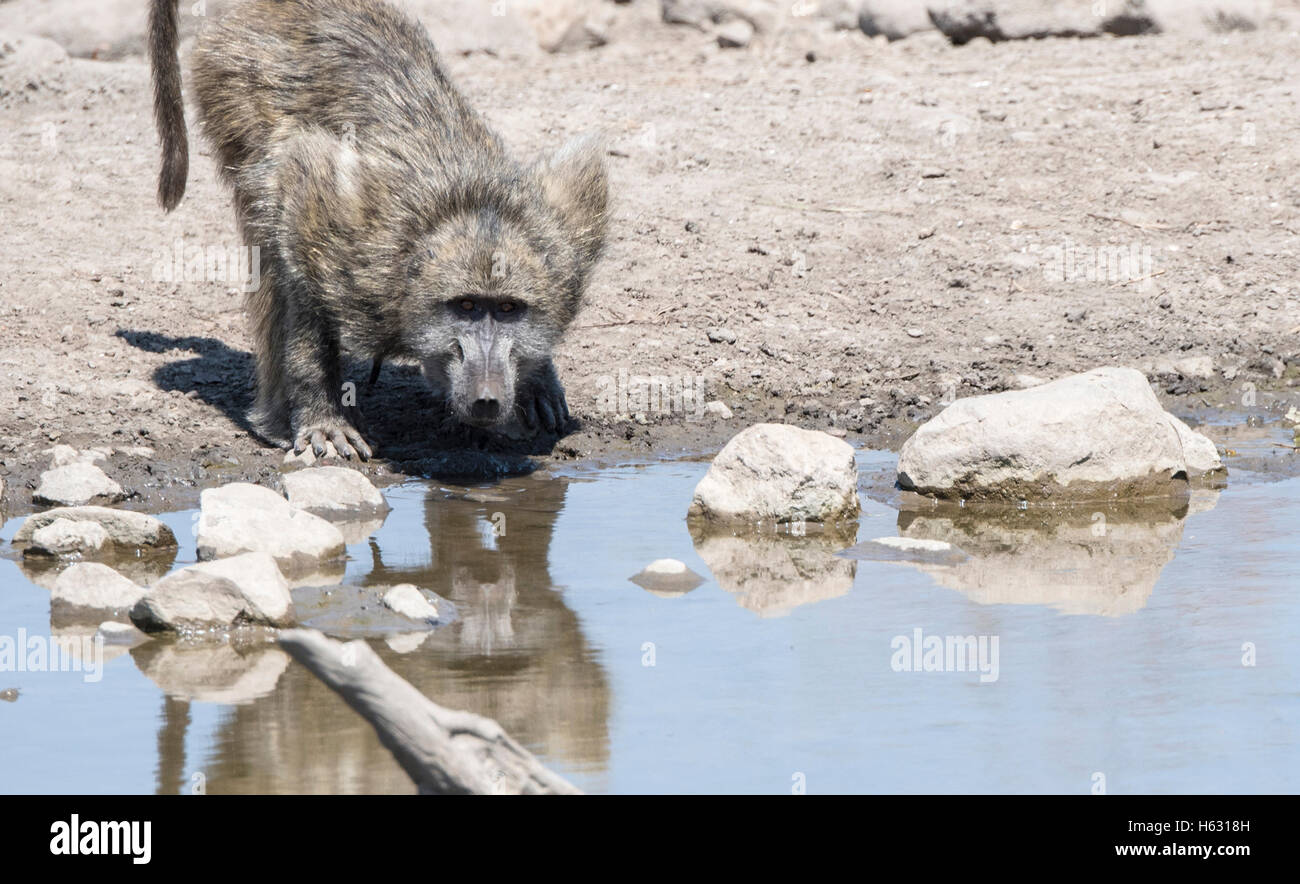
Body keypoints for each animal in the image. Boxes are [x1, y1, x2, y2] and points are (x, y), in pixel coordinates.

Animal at [148, 0, 608, 460]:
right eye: (466, 306)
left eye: (509, 309)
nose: (487, 397)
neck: (463, 207)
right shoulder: (348, 236)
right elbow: (297, 232)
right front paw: (323, 418)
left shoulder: (565, 226)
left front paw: (538, 380)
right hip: (234, 81)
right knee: (269, 238)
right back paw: (277, 419)